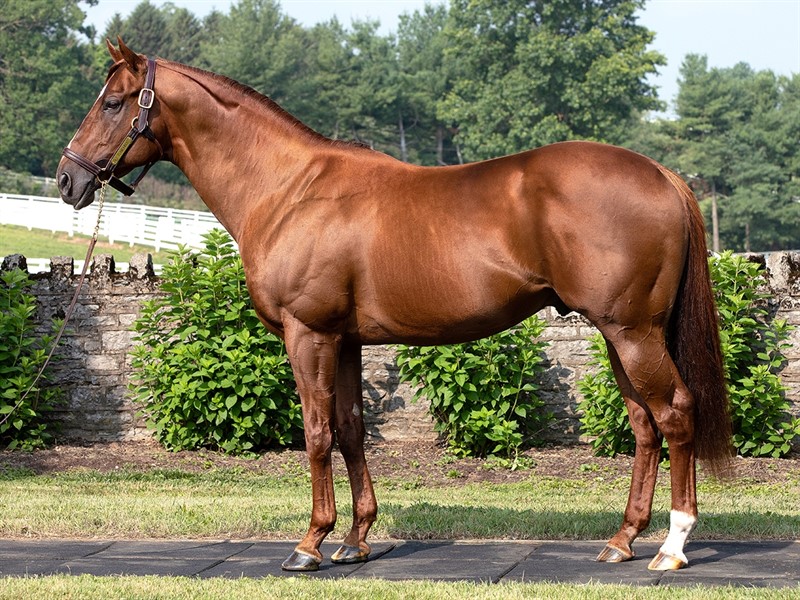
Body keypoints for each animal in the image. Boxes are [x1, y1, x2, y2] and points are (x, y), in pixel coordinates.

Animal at [57, 40, 732, 572]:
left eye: (113, 102)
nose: (68, 180)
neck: (290, 188)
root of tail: (663, 176)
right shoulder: (345, 340)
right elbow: (352, 429)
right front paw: (355, 540)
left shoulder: (308, 334)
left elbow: (317, 433)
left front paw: (309, 544)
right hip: (621, 333)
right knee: (644, 425)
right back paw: (622, 540)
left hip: (632, 332)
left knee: (674, 414)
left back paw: (672, 546)